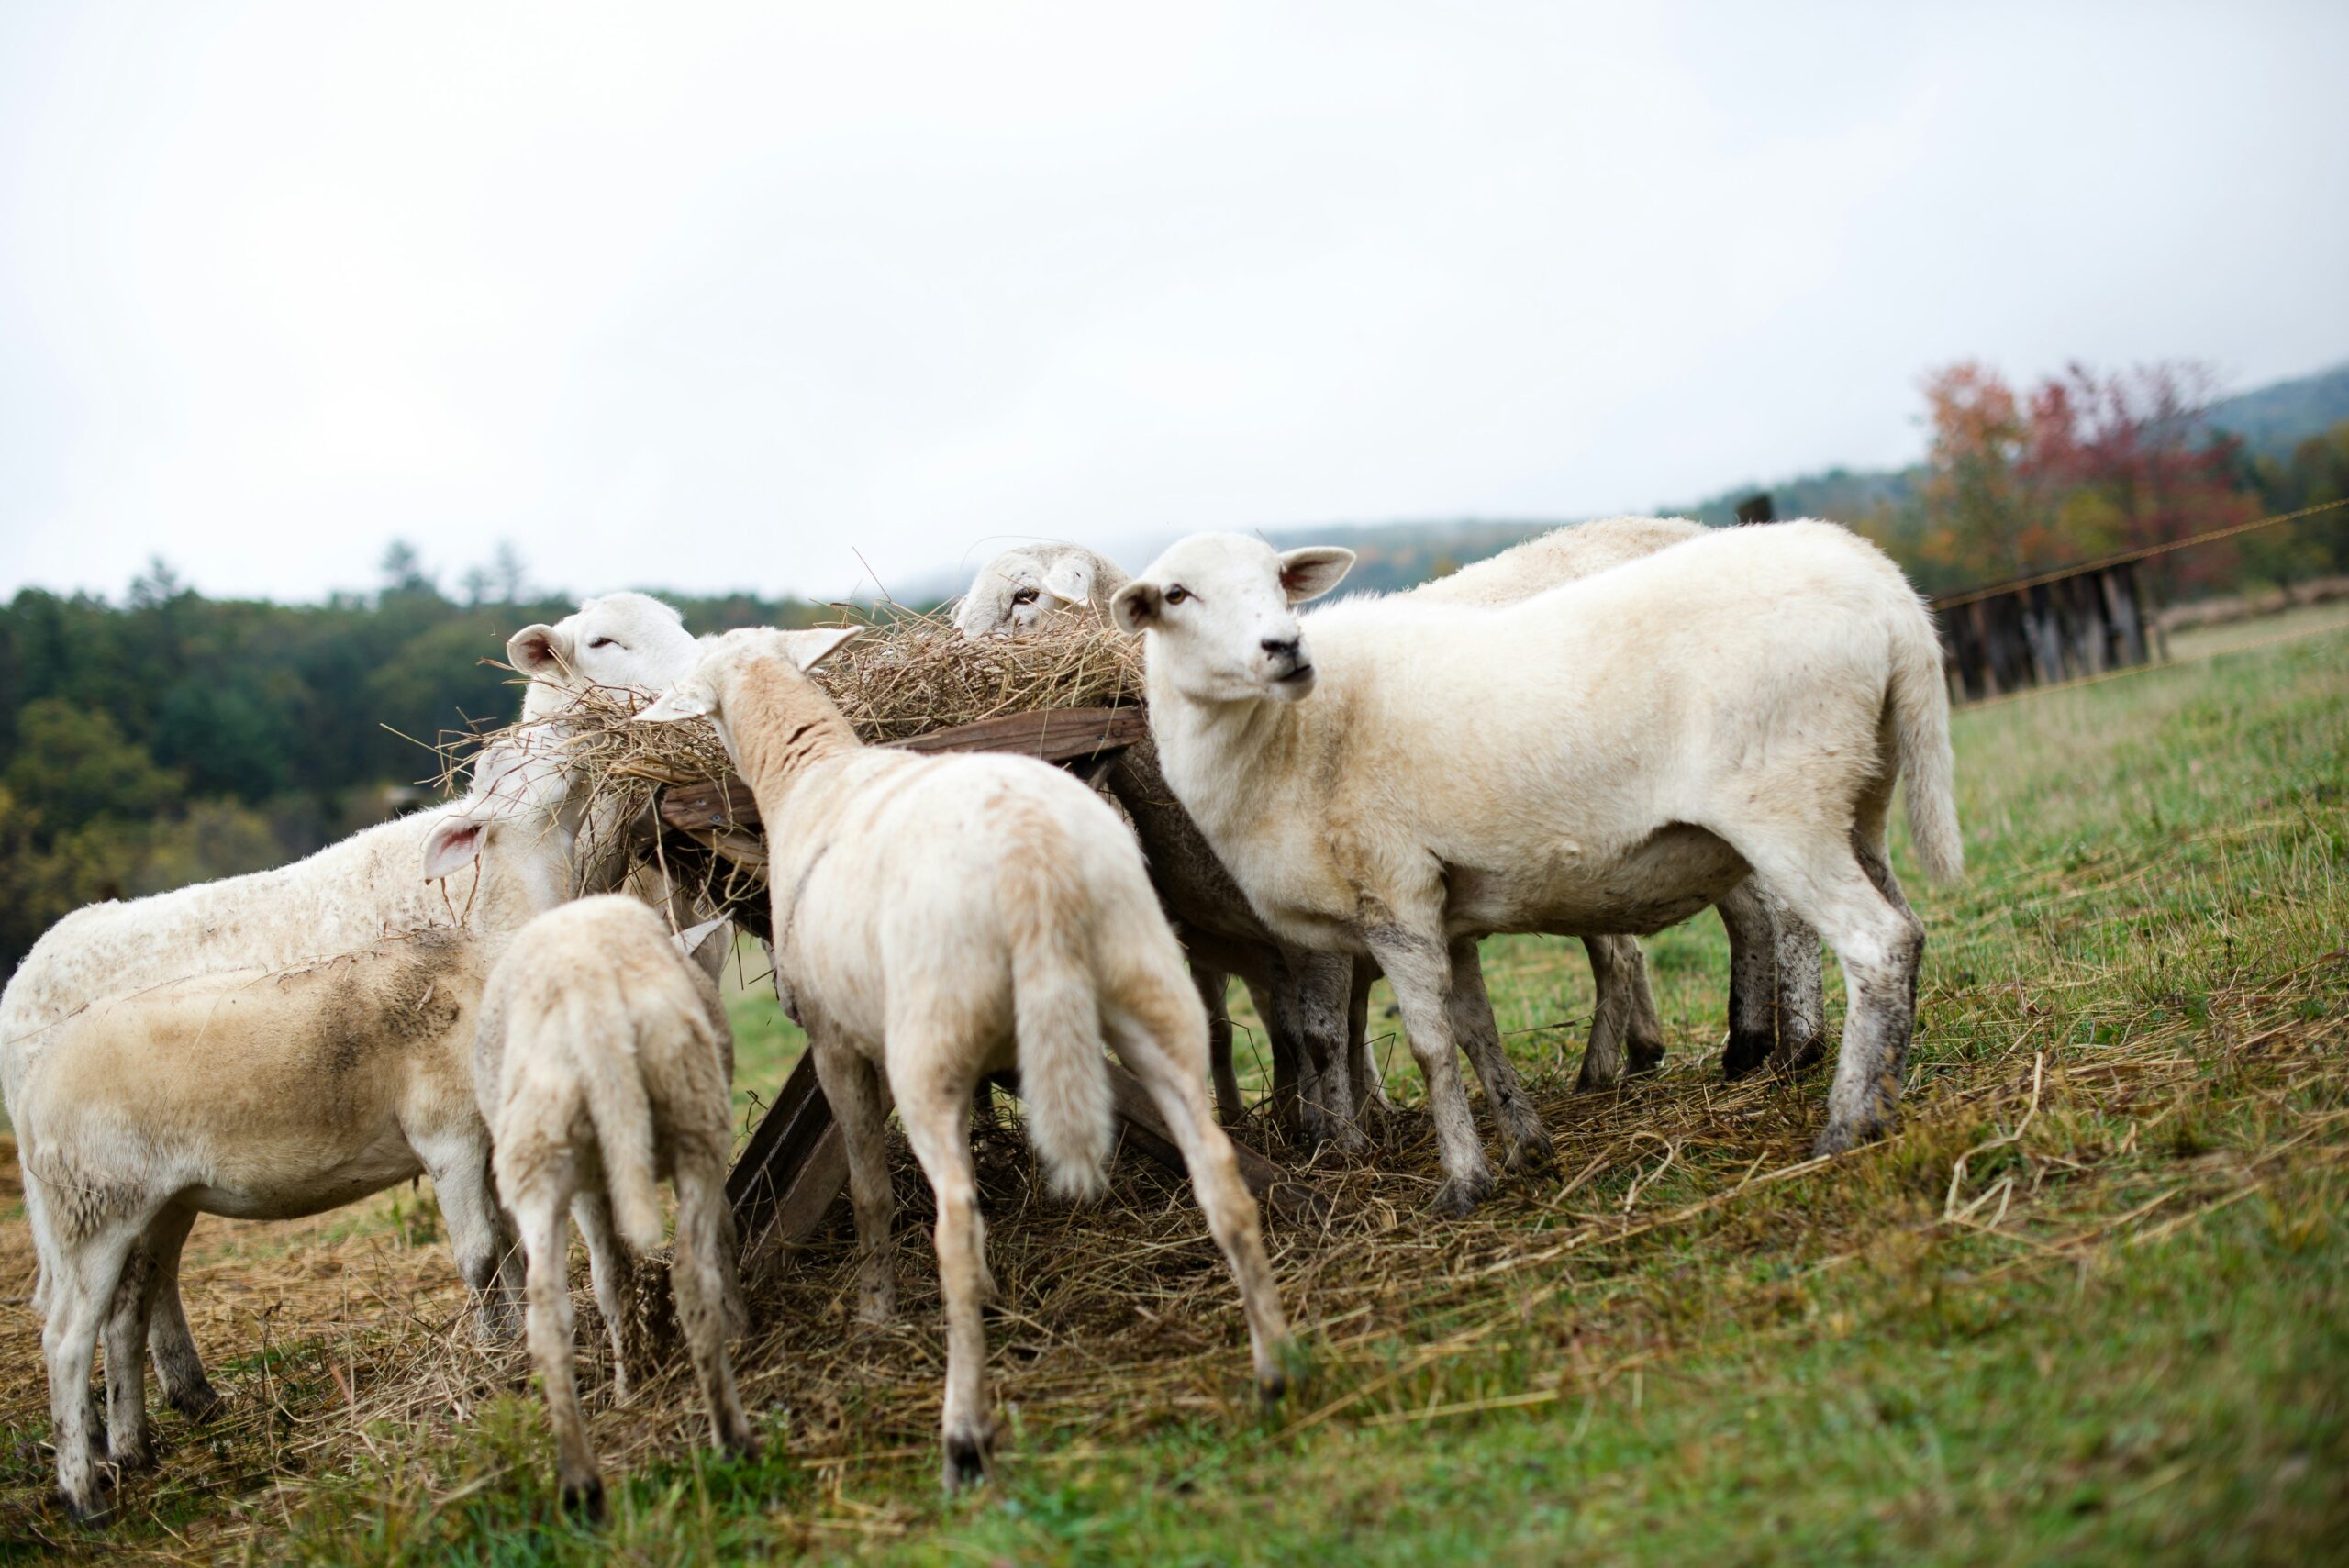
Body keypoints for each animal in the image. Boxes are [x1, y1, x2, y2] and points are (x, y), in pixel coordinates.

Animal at [3, 743, 606, 1519]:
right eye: (503, 774)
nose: (581, 749)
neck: (482, 953)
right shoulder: (447, 1136)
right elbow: (479, 1257)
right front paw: (497, 1360)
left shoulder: (491, 1136)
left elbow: (513, 1251)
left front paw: (523, 1340)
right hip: (89, 1206)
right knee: (66, 1337)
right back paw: (85, 1488)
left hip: (147, 1204)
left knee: (130, 1308)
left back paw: (141, 1442)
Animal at [472, 896, 752, 1518]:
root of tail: (591, 992)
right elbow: (722, 1234)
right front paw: (743, 1324)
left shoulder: (589, 1187)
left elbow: (610, 1275)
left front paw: (629, 1382)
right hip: (693, 1117)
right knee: (690, 1274)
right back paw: (732, 1439)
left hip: (542, 1150)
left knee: (550, 1313)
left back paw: (582, 1485)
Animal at [638, 627, 1297, 1488]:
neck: (811, 774)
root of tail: (1031, 859)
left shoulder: (835, 1042)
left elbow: (871, 1188)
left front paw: (876, 1309)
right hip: (1149, 990)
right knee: (1220, 1176)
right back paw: (1275, 1368)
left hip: (931, 1041)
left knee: (952, 1225)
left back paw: (962, 1434)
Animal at [1111, 524, 1961, 1214]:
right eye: (1177, 594)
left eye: (1279, 579)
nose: (1285, 646)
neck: (1289, 737)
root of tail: (1886, 588)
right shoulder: (1444, 908)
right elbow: (1477, 1031)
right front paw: (1526, 1145)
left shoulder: (1393, 895)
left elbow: (1424, 1046)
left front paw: (1461, 1179)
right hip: (1860, 793)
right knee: (1907, 928)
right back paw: (1877, 1084)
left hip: (1786, 802)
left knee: (1873, 942)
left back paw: (1841, 1116)